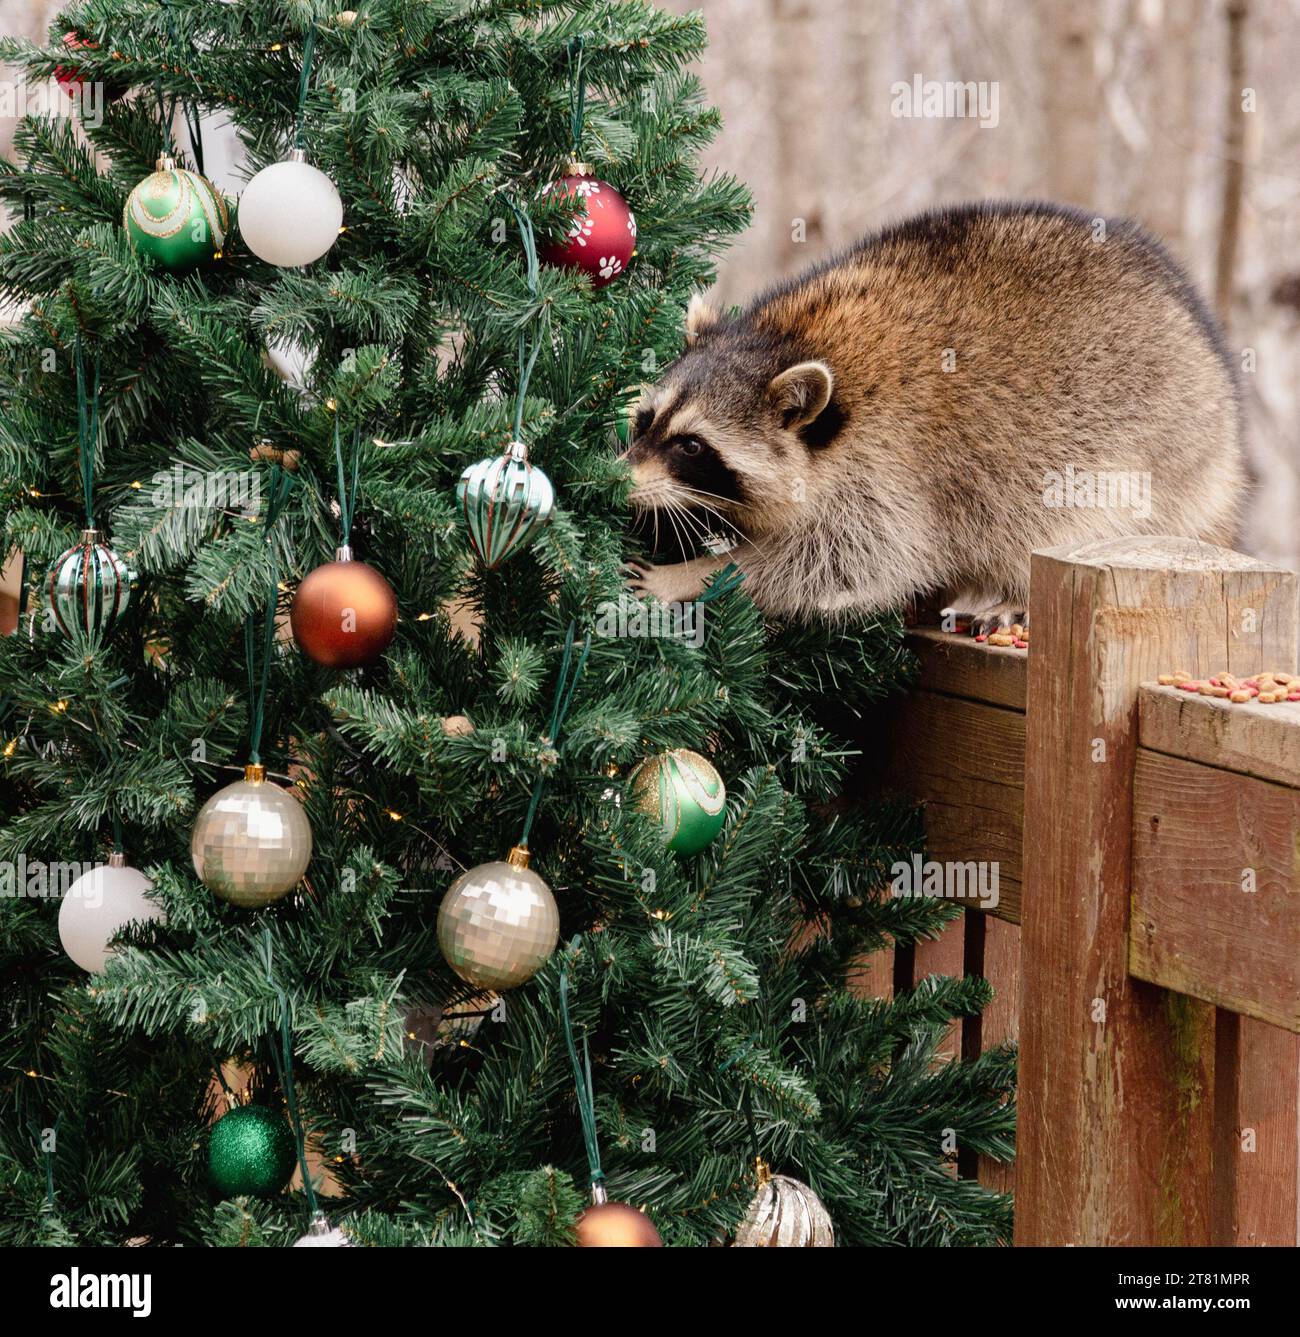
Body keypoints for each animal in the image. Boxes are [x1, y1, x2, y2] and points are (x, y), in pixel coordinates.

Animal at [623, 201, 1243, 624]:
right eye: (644, 421)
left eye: (692, 445)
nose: (618, 481)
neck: (789, 339)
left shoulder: (887, 476)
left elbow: (836, 565)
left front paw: (692, 574)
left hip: (1145, 460)